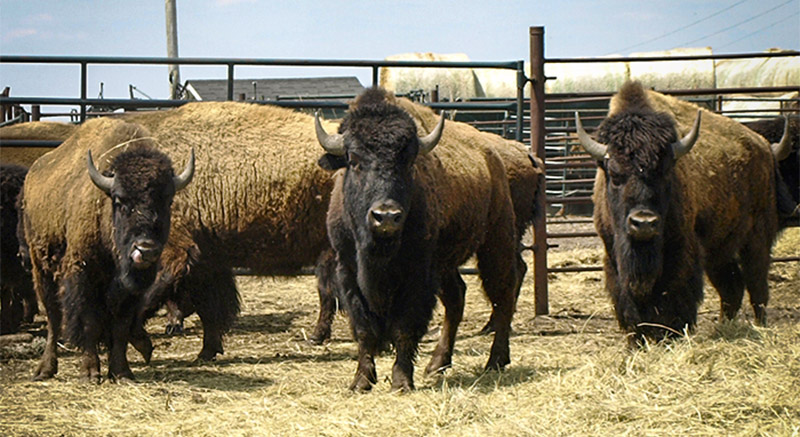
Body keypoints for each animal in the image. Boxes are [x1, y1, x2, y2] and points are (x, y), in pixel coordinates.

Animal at [22, 118, 194, 381]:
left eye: (167, 200)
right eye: (120, 200)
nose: (146, 249)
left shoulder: (130, 291)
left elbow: (121, 326)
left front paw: (122, 371)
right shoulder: (83, 276)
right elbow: (89, 322)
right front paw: (90, 372)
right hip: (41, 267)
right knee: (53, 317)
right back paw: (45, 369)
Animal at [316, 88, 525, 391]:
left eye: (408, 161)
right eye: (353, 160)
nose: (386, 216)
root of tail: (493, 156)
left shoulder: (417, 274)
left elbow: (406, 326)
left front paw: (401, 381)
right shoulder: (348, 271)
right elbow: (364, 328)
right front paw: (361, 381)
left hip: (496, 242)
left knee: (503, 293)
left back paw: (496, 360)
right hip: (447, 264)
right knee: (457, 298)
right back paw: (438, 364)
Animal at [576, 81, 785, 345]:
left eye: (666, 172)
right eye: (614, 175)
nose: (644, 223)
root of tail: (764, 147)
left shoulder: (682, 251)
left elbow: (674, 296)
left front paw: (669, 334)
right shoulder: (613, 253)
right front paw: (638, 339)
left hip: (756, 239)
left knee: (757, 286)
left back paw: (760, 326)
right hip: (719, 250)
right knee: (732, 288)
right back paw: (723, 327)